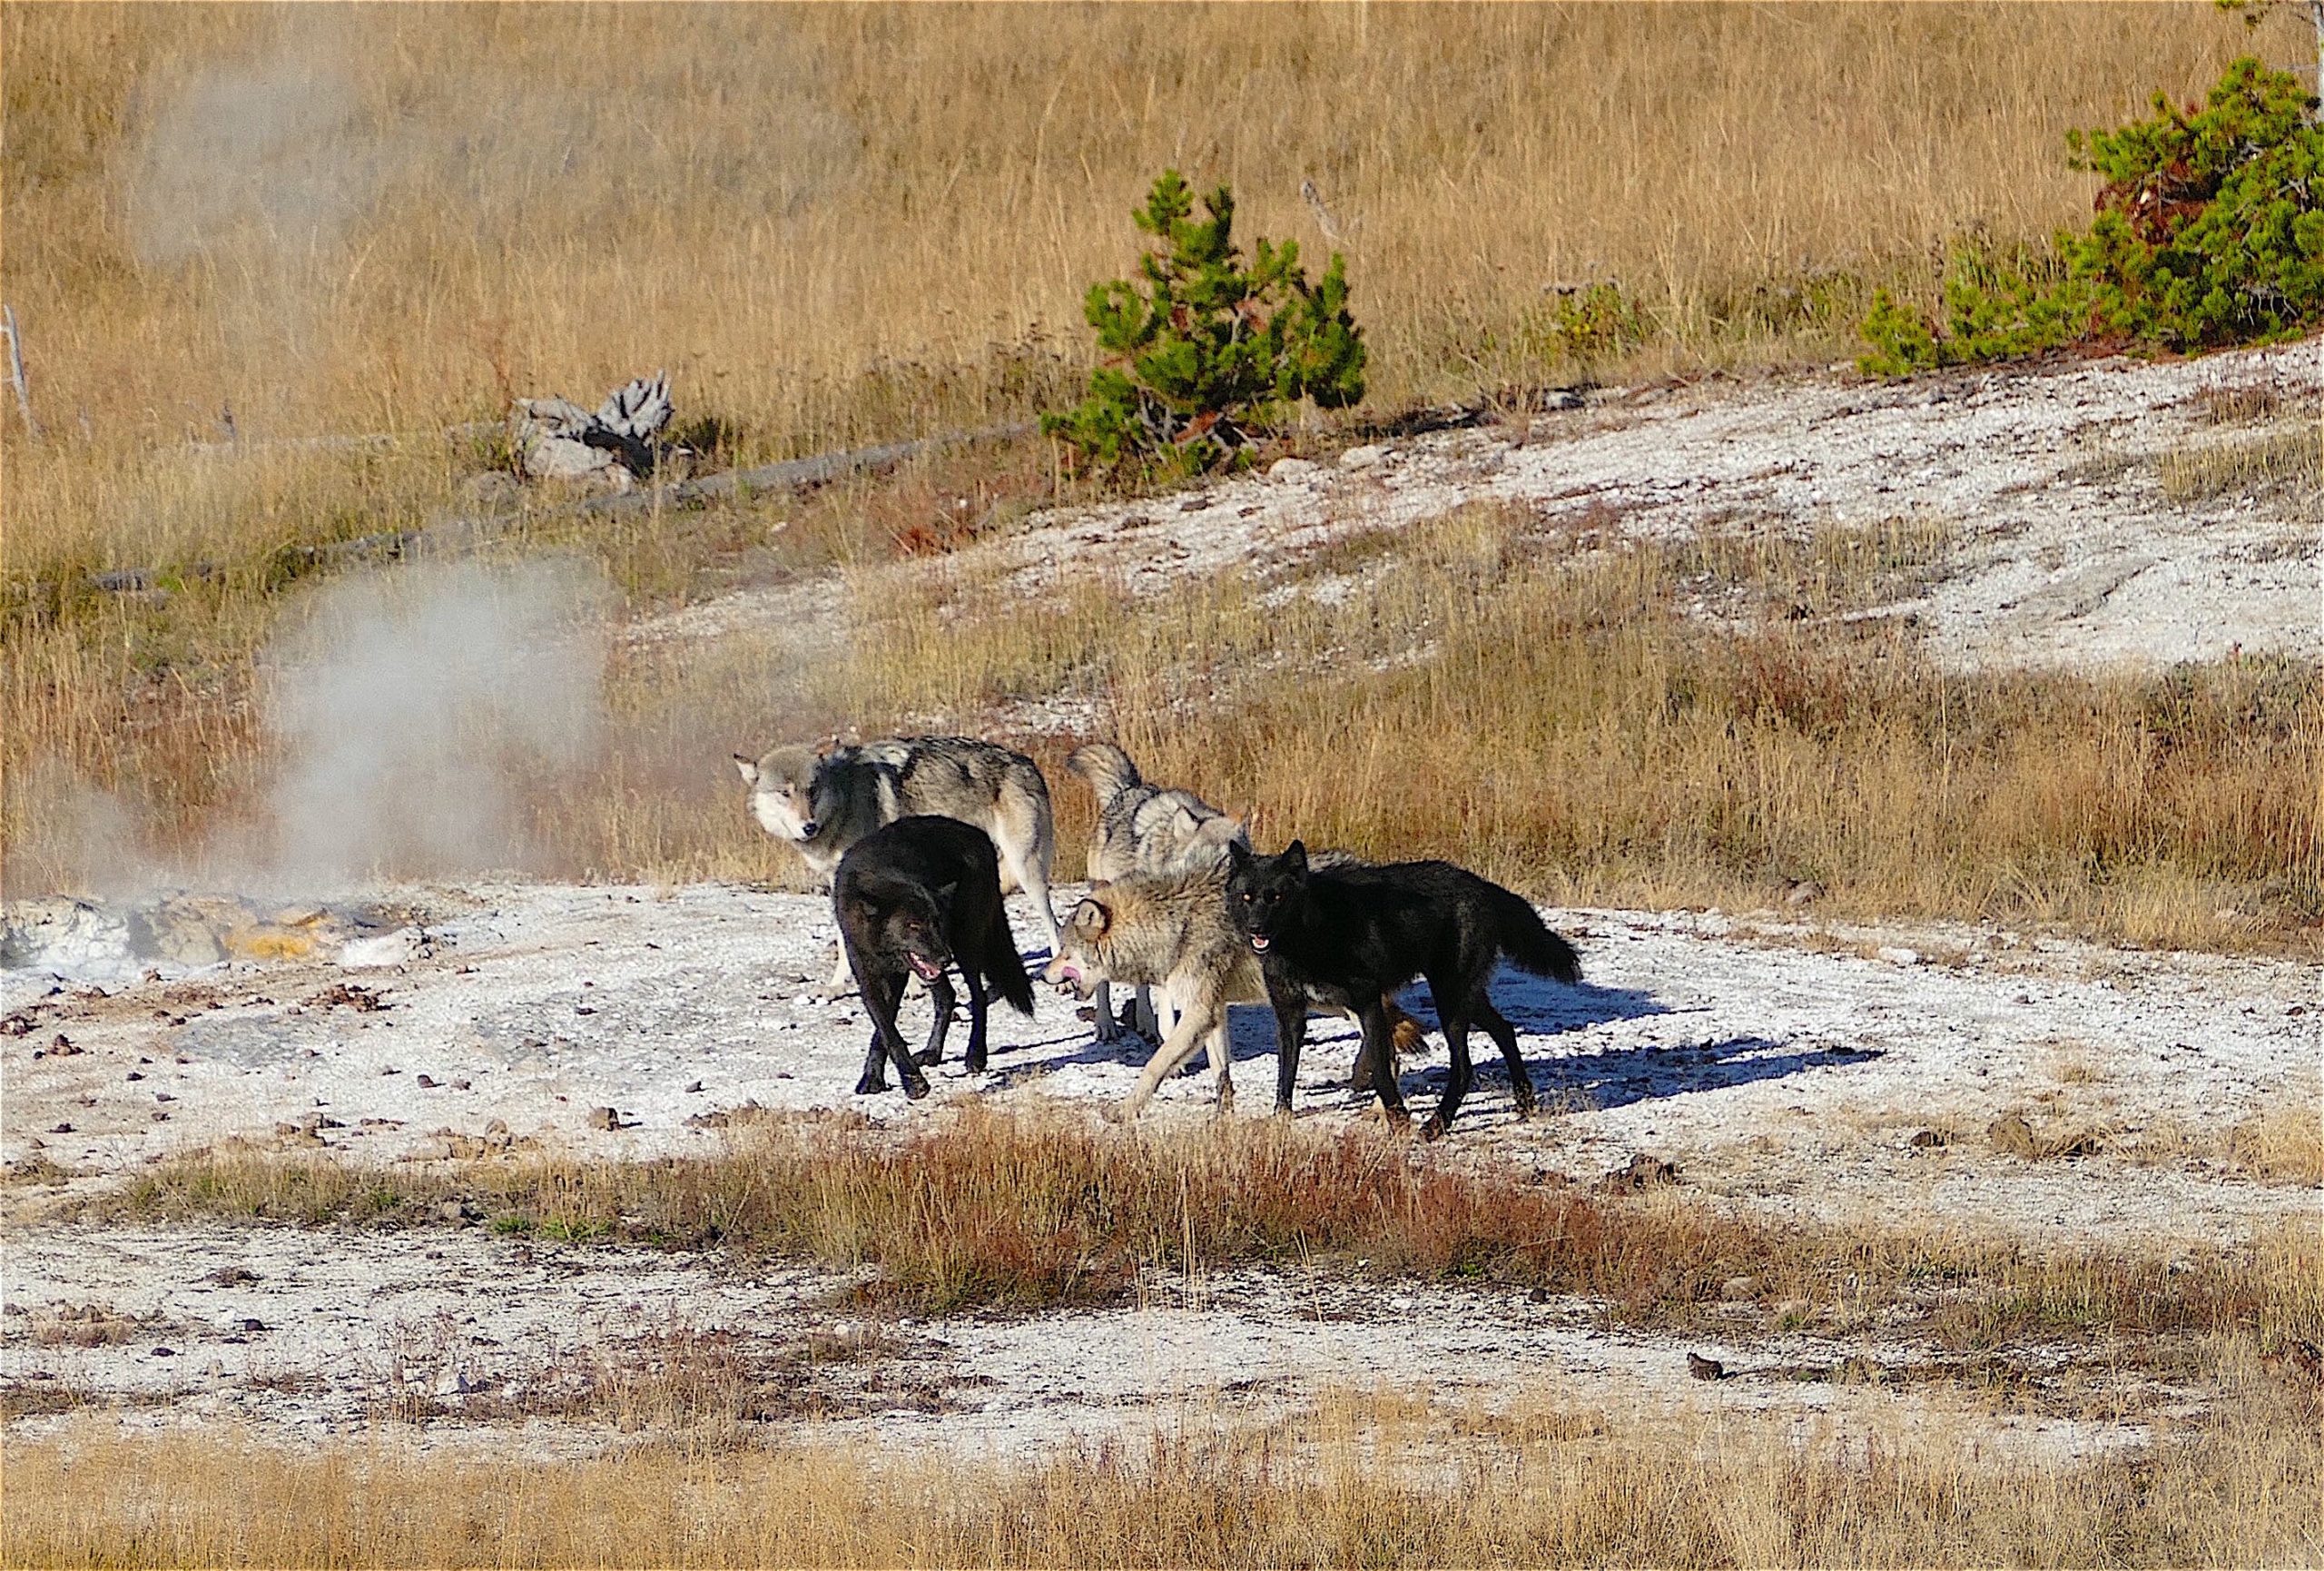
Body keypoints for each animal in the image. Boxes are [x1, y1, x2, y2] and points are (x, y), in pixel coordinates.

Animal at [735, 734, 1062, 983]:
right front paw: (836, 985)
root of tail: (1028, 763)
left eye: (811, 790)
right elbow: (845, 937)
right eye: (784, 794)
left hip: (1026, 869)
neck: (847, 803)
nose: (809, 826)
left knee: (1053, 924)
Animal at [834, 816, 1036, 1100]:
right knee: (947, 996)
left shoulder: (898, 977)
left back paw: (976, 1056)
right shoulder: (867, 975)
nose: (944, 959)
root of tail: (979, 835)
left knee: (978, 997)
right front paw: (875, 1078)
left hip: (966, 946)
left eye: (937, 921)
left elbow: (885, 1032)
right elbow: (886, 1031)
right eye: (913, 925)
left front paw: (912, 1083)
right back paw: (932, 1052)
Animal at [1042, 864, 1422, 1122]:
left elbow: (1154, 1065)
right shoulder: (1213, 1013)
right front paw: (1222, 1120)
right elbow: (1220, 1073)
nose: (1043, 976)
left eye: (1063, 951)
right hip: (1331, 1004)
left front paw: (1123, 1111)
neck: (1174, 927)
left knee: (1389, 1054)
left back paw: (1379, 1108)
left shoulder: (1197, 1012)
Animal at [1225, 840, 1581, 1137]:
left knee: (1464, 1066)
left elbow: (1381, 1069)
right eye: (1247, 897)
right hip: (1463, 996)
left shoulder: (1368, 1004)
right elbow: (1285, 1074)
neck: (1307, 936)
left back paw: (1436, 1126)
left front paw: (1398, 1121)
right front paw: (1280, 1119)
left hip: (1450, 1000)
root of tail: (1482, 885)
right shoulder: (1290, 1017)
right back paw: (1524, 1101)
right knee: (1504, 1029)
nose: (1256, 928)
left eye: (1276, 897)